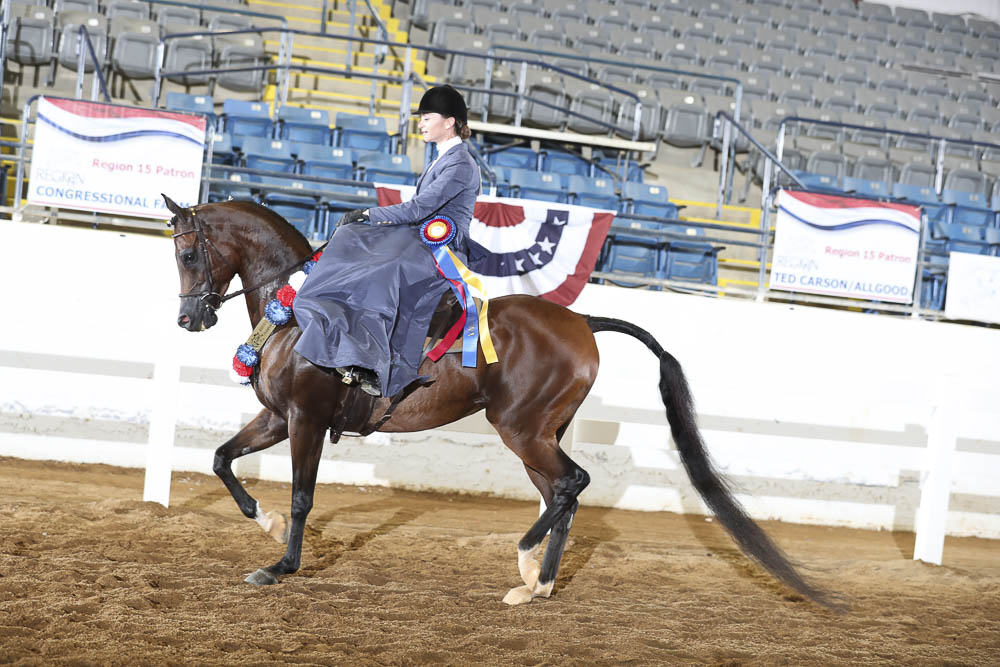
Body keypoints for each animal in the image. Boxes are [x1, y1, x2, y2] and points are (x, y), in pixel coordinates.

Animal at [165, 195, 841, 609]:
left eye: (189, 252)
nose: (189, 319)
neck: (301, 312)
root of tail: (583, 320)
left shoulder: (306, 418)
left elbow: (303, 498)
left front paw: (280, 565)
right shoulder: (277, 417)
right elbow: (222, 460)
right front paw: (263, 521)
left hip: (520, 429)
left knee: (573, 484)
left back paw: (524, 565)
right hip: (536, 435)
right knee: (564, 493)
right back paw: (537, 584)